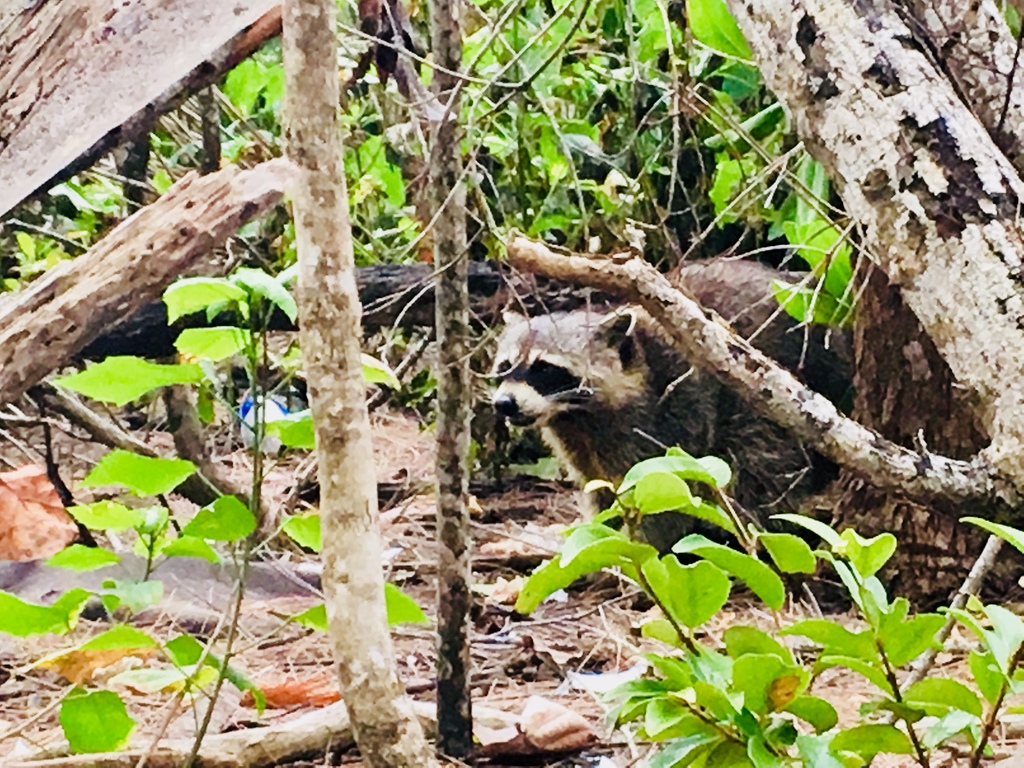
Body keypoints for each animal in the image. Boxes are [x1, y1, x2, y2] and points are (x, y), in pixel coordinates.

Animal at [492, 259, 851, 546]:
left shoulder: (677, 413)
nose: (504, 404)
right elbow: (600, 492)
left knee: (763, 462)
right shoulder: (582, 447)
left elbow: (666, 497)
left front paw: (645, 551)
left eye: (544, 369)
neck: (574, 416)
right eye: (504, 367)